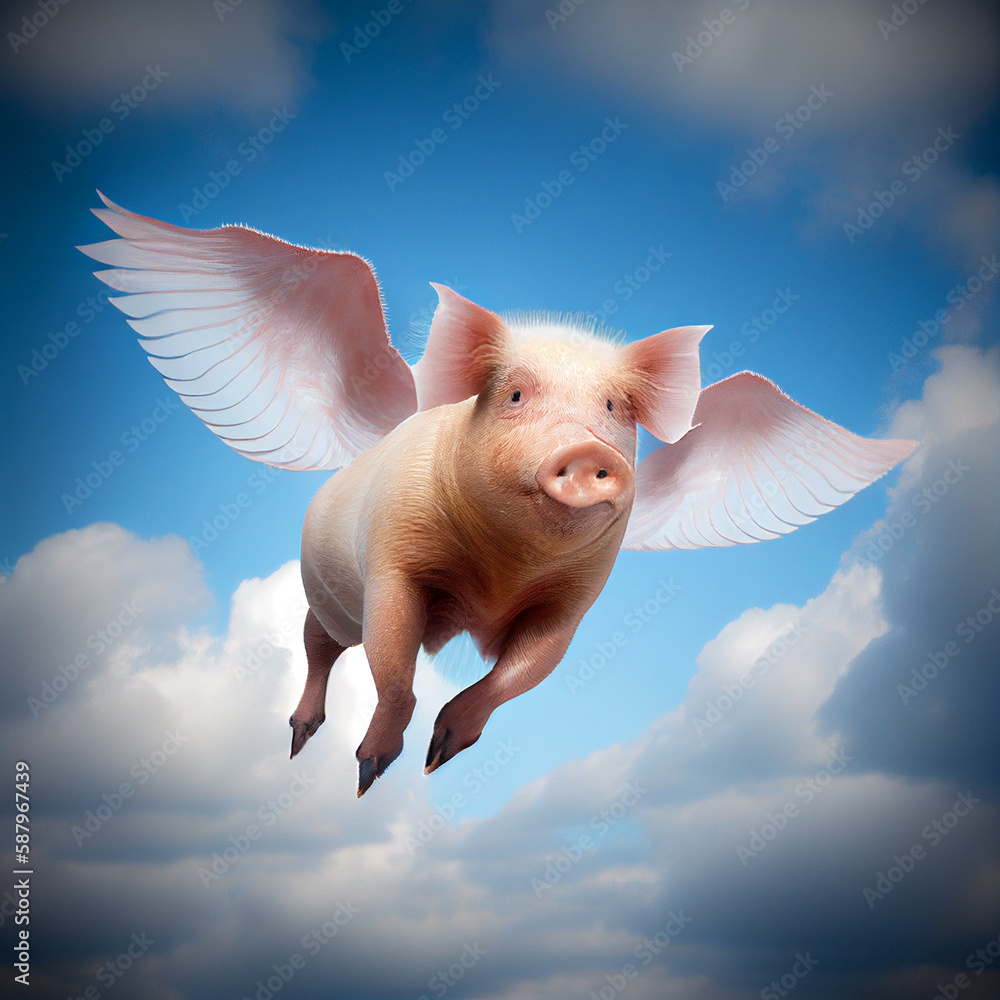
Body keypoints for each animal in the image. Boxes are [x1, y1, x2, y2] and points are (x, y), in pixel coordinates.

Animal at [79, 193, 918, 796]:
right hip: (328, 587)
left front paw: (439, 759)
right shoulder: (394, 569)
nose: (584, 451)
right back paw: (299, 742)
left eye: (613, 409)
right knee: (321, 645)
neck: (496, 574)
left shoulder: (569, 605)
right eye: (513, 394)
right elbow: (395, 673)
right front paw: (370, 776)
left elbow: (515, 677)